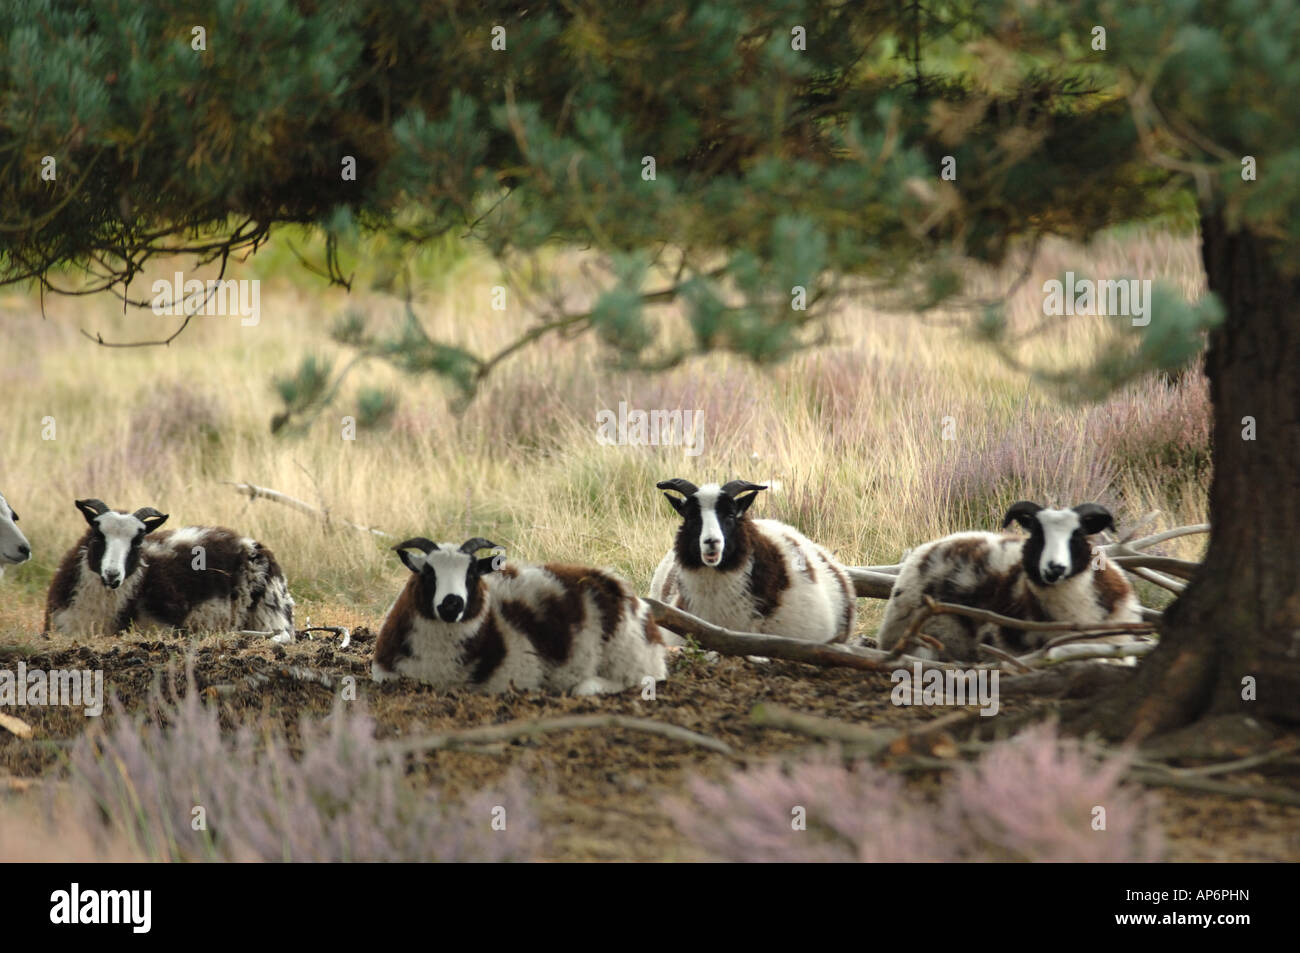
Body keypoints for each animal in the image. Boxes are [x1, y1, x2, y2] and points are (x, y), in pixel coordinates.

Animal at [44, 498, 296, 642]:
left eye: (137, 541)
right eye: (97, 535)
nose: (112, 575)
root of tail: (250, 541)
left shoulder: (162, 626)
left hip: (269, 610)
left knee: (281, 636)